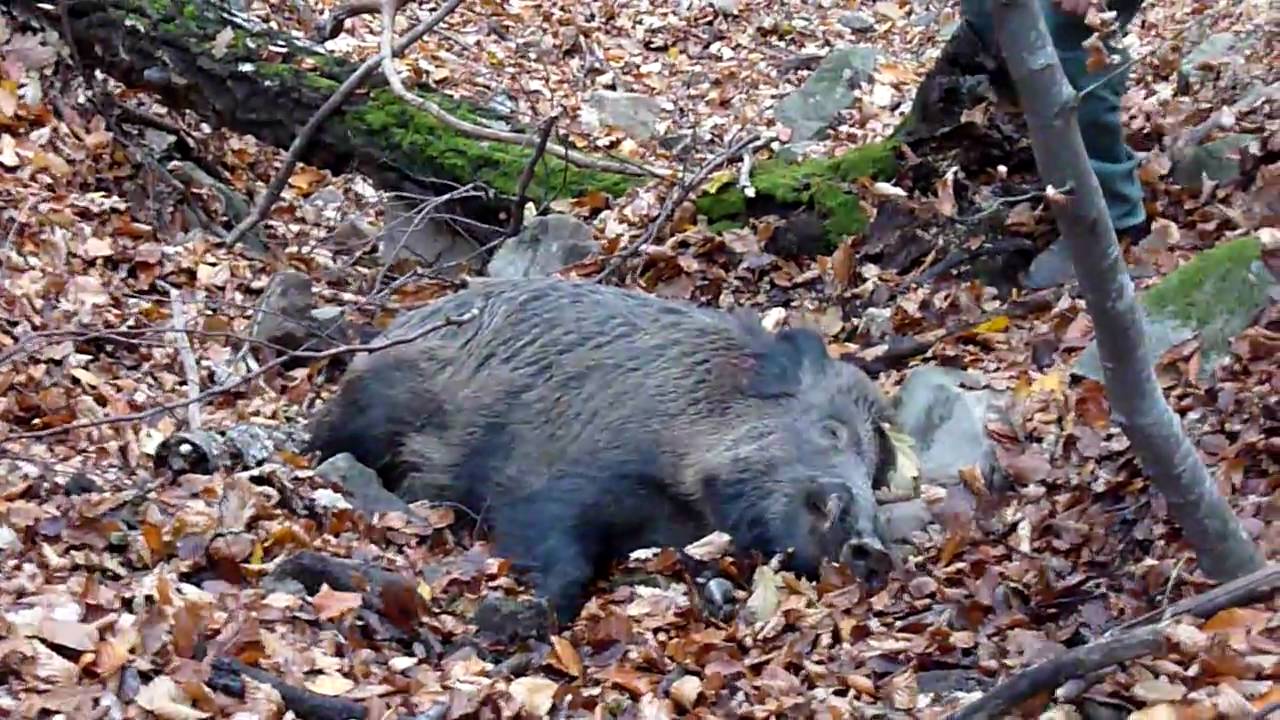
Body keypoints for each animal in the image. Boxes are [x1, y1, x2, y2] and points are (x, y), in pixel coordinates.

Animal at [307, 277, 897, 624]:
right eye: (831, 431)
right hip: (377, 405)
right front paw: (512, 616)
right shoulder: (554, 474)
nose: (874, 548)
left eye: (875, 471)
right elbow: (557, 547)